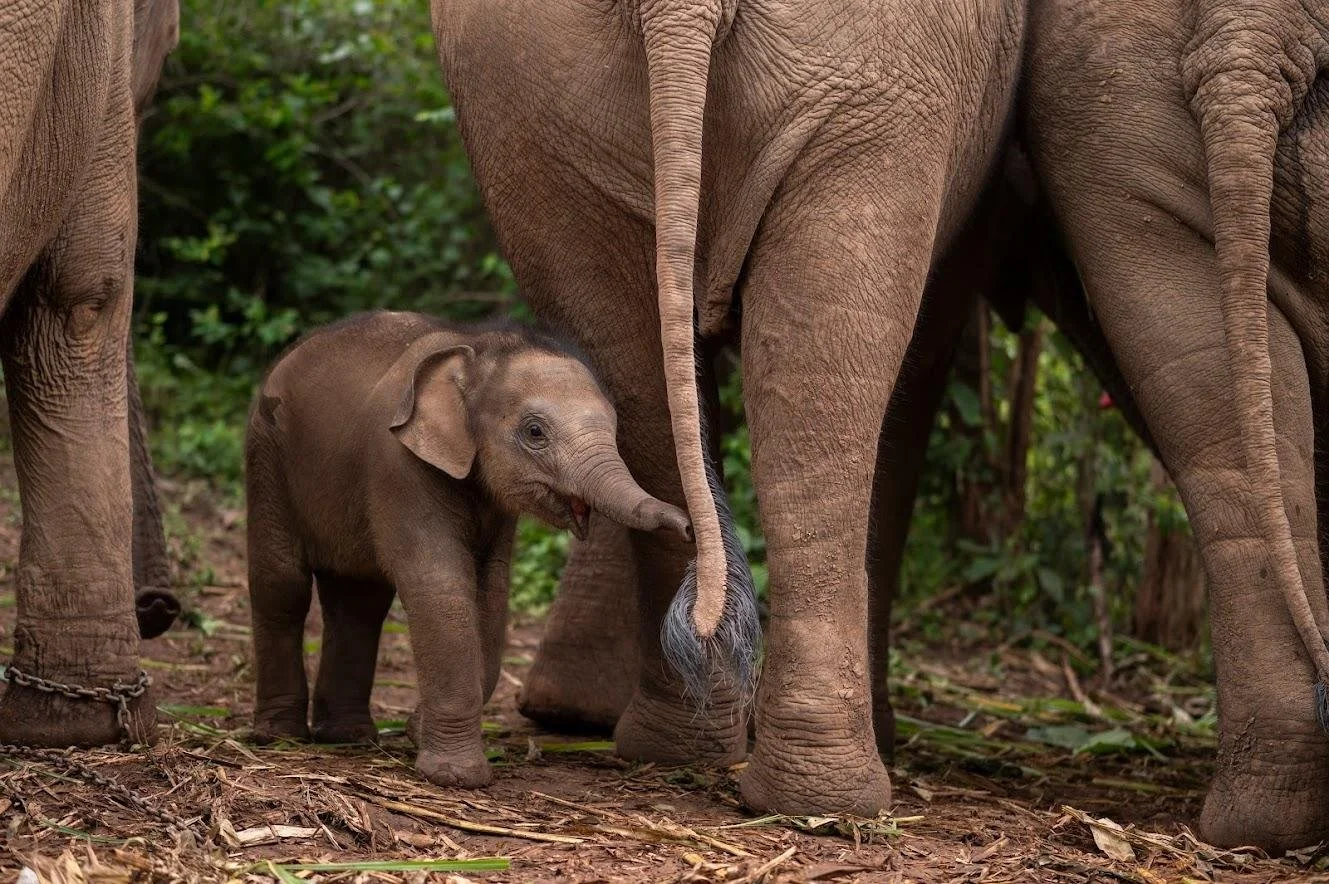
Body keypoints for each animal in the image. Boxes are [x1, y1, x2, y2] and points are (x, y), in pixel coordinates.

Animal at [244, 310, 692, 788]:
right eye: (535, 432)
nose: (687, 526)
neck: (479, 350)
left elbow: (490, 593)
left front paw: (417, 730)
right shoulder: (396, 463)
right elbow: (441, 585)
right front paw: (454, 777)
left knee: (359, 601)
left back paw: (349, 737)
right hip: (267, 453)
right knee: (282, 587)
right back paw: (280, 736)